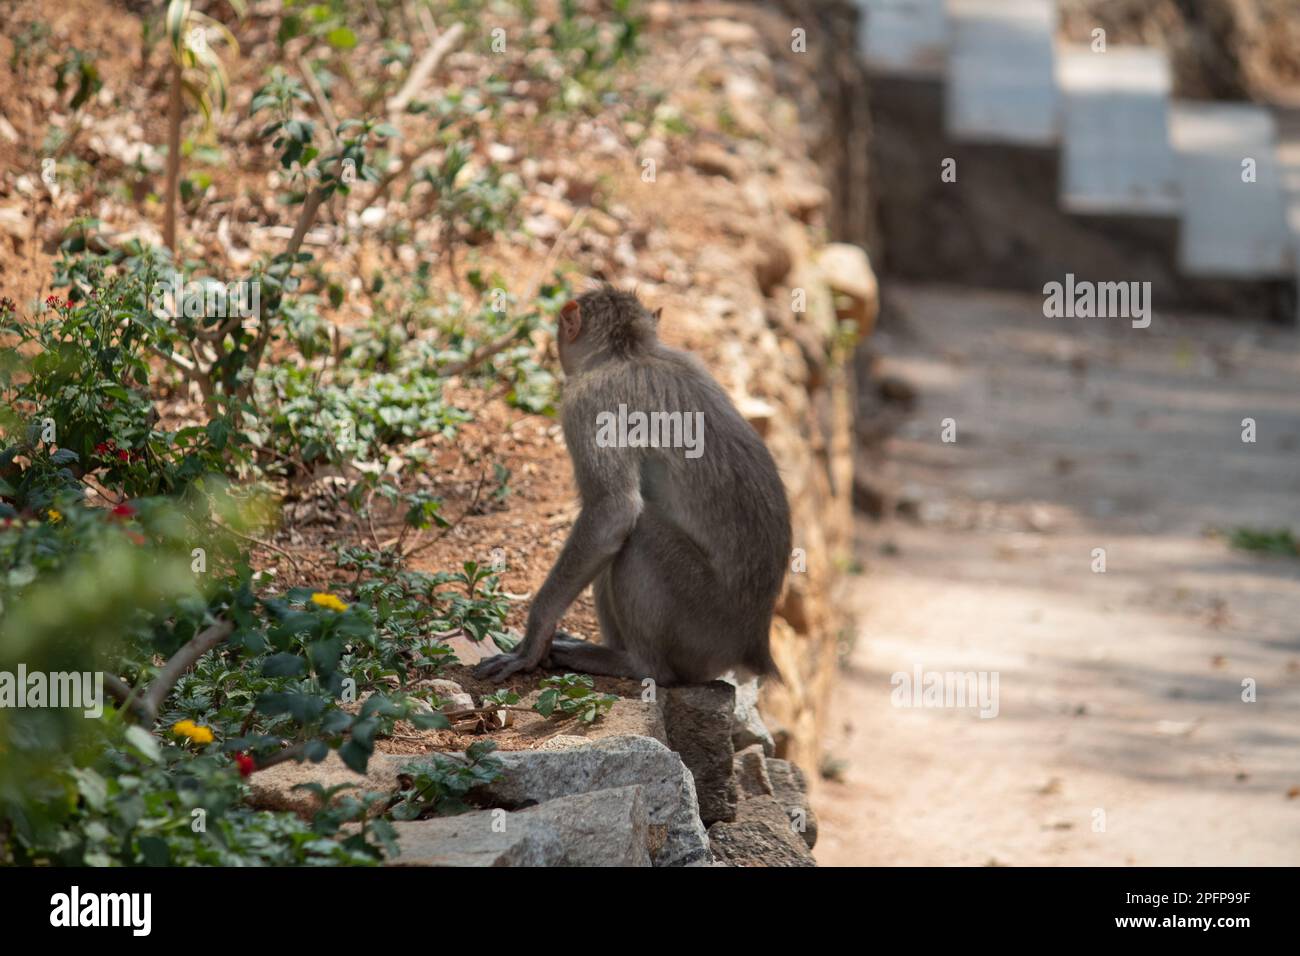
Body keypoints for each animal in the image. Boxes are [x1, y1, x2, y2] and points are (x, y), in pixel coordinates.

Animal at [474, 286, 792, 686]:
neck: (630, 352)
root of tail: (752, 645)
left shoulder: (586, 405)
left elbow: (612, 513)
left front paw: (531, 643)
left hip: (704, 627)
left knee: (639, 534)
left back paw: (637, 665)